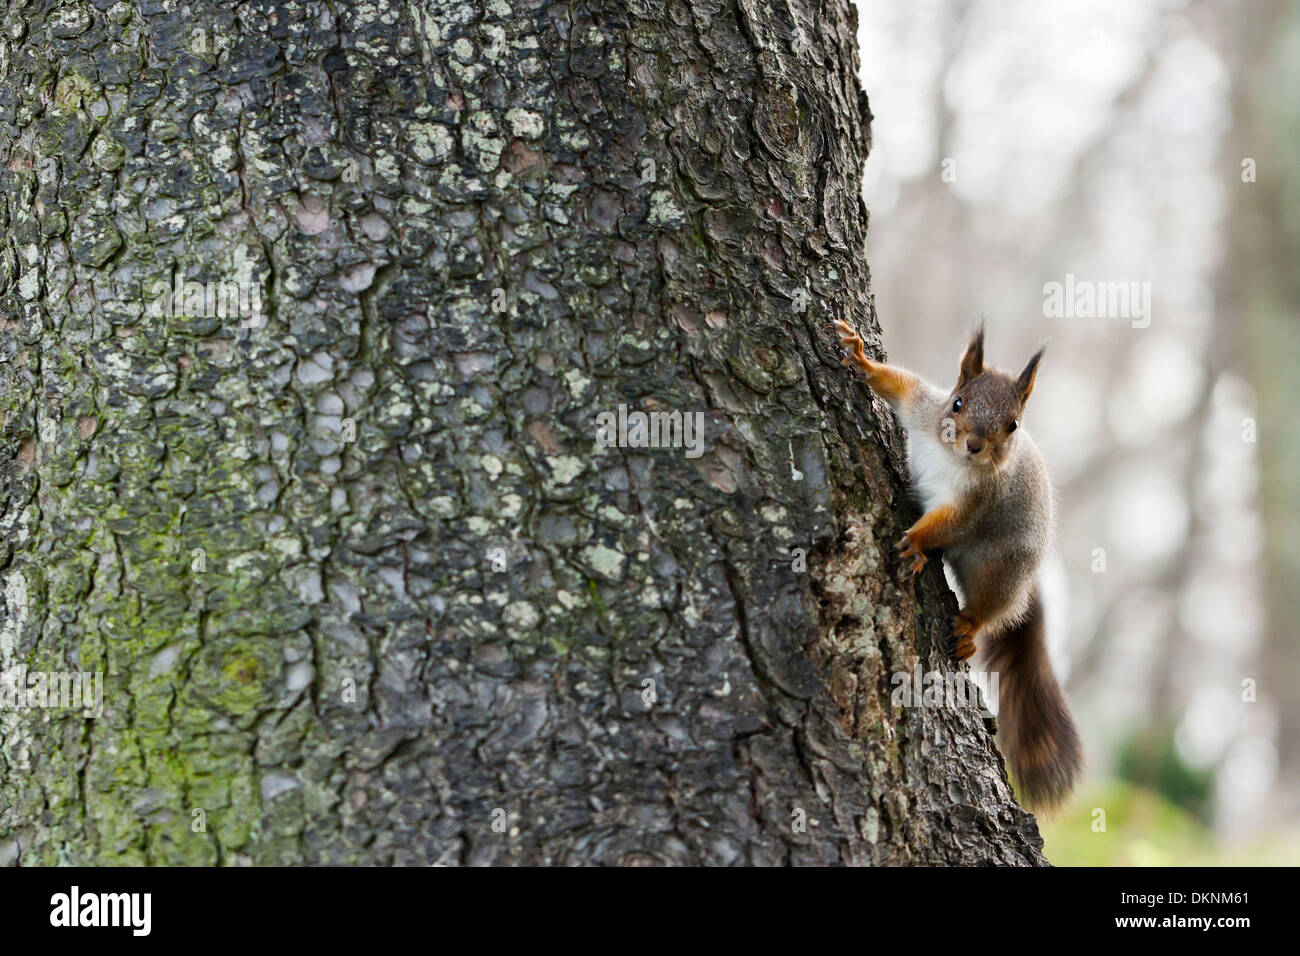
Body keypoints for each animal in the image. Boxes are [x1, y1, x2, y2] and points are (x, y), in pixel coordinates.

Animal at [831, 318, 1082, 810]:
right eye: (958, 402)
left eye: (1012, 424)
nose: (974, 445)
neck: (950, 457)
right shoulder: (924, 410)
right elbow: (899, 386)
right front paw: (861, 356)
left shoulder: (975, 504)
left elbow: (943, 526)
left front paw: (915, 543)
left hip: (999, 568)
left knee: (993, 608)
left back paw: (969, 626)